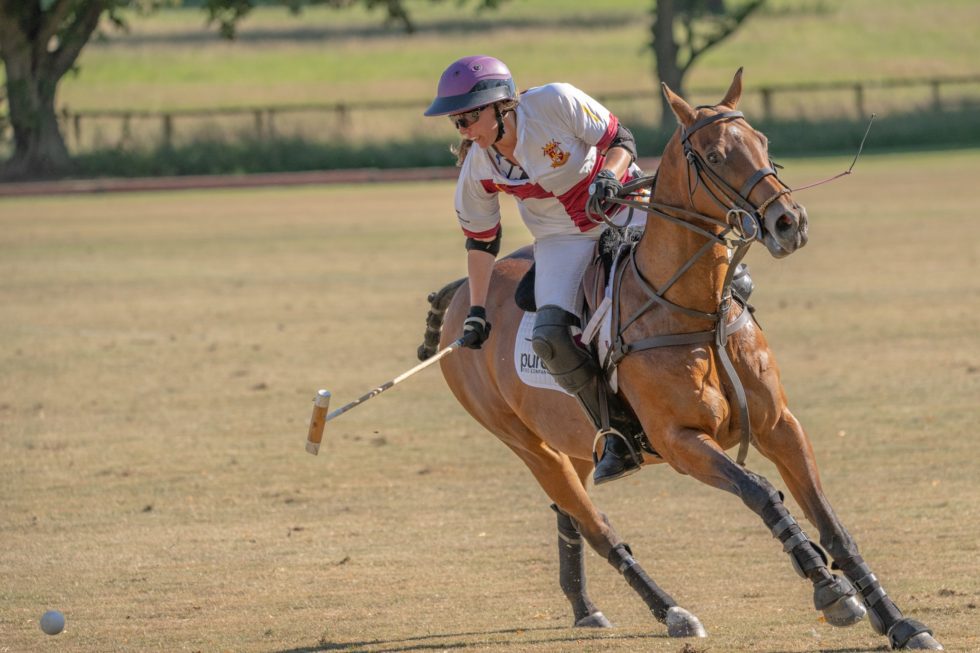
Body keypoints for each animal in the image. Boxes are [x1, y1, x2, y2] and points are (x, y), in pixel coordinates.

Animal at [416, 69, 943, 650]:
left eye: (762, 141)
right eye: (712, 156)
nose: (789, 222)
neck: (695, 309)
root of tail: (463, 297)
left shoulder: (779, 424)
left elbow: (832, 522)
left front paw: (899, 622)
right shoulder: (681, 441)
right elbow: (762, 494)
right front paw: (832, 593)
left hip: (570, 439)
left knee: (569, 514)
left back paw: (585, 608)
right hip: (529, 446)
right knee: (596, 525)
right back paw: (671, 611)